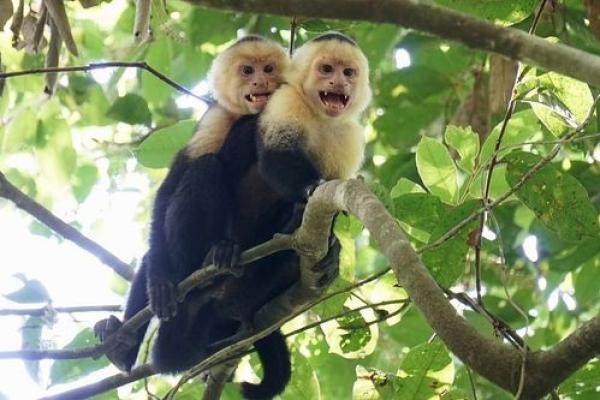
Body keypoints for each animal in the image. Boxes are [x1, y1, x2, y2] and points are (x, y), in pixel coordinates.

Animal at [95, 34, 290, 372]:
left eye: (268, 68)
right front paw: (160, 281)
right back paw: (123, 346)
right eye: (248, 70)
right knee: (204, 170)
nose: (261, 81)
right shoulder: (216, 118)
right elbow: (169, 190)